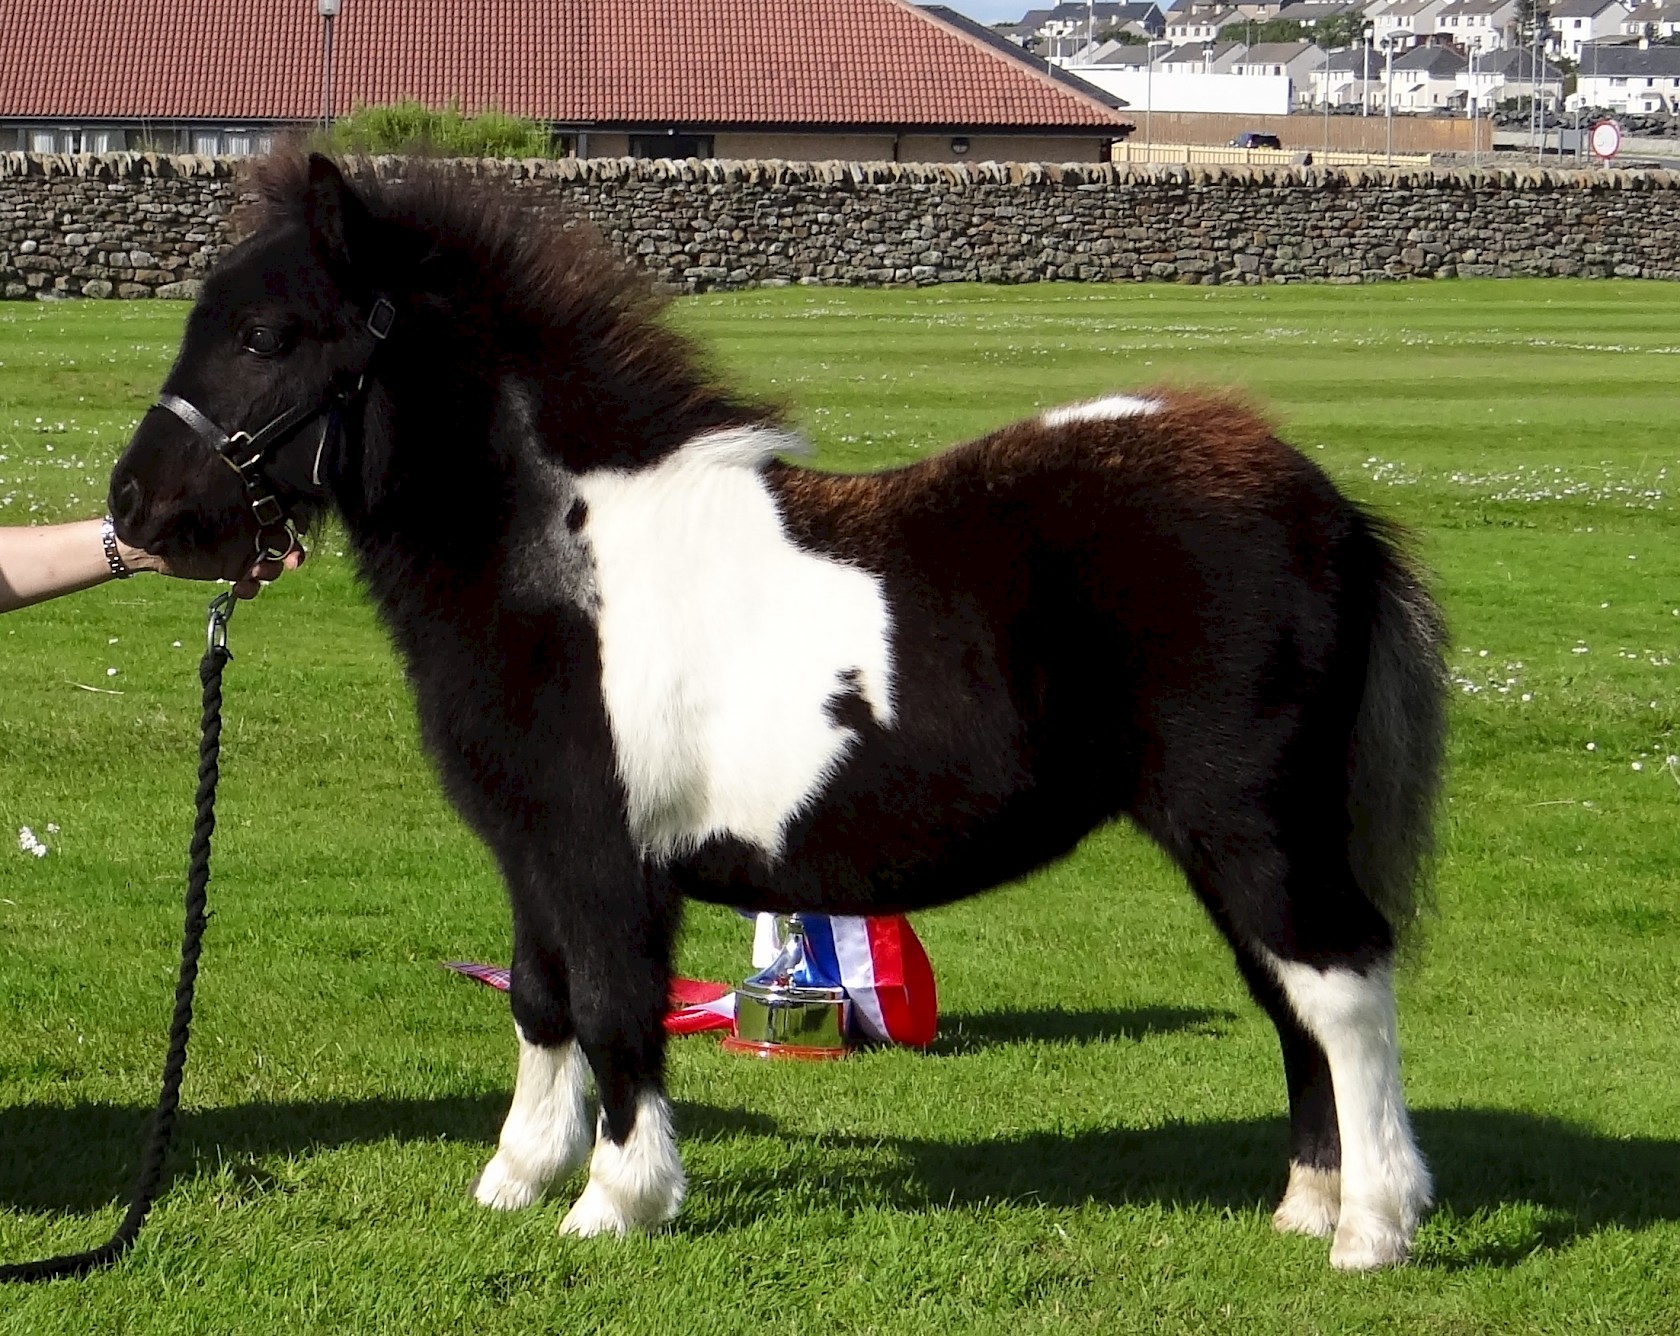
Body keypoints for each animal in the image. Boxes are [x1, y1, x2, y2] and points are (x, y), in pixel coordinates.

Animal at [108, 153, 1447, 1270]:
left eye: (269, 335)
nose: (136, 509)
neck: (565, 558)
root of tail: (1329, 510)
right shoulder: (535, 849)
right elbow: (541, 998)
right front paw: (517, 1175)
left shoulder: (605, 858)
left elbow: (613, 1007)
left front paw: (617, 1200)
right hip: (1230, 844)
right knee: (1292, 998)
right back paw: (1307, 1205)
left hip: (1252, 825)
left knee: (1342, 986)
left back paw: (1373, 1229)